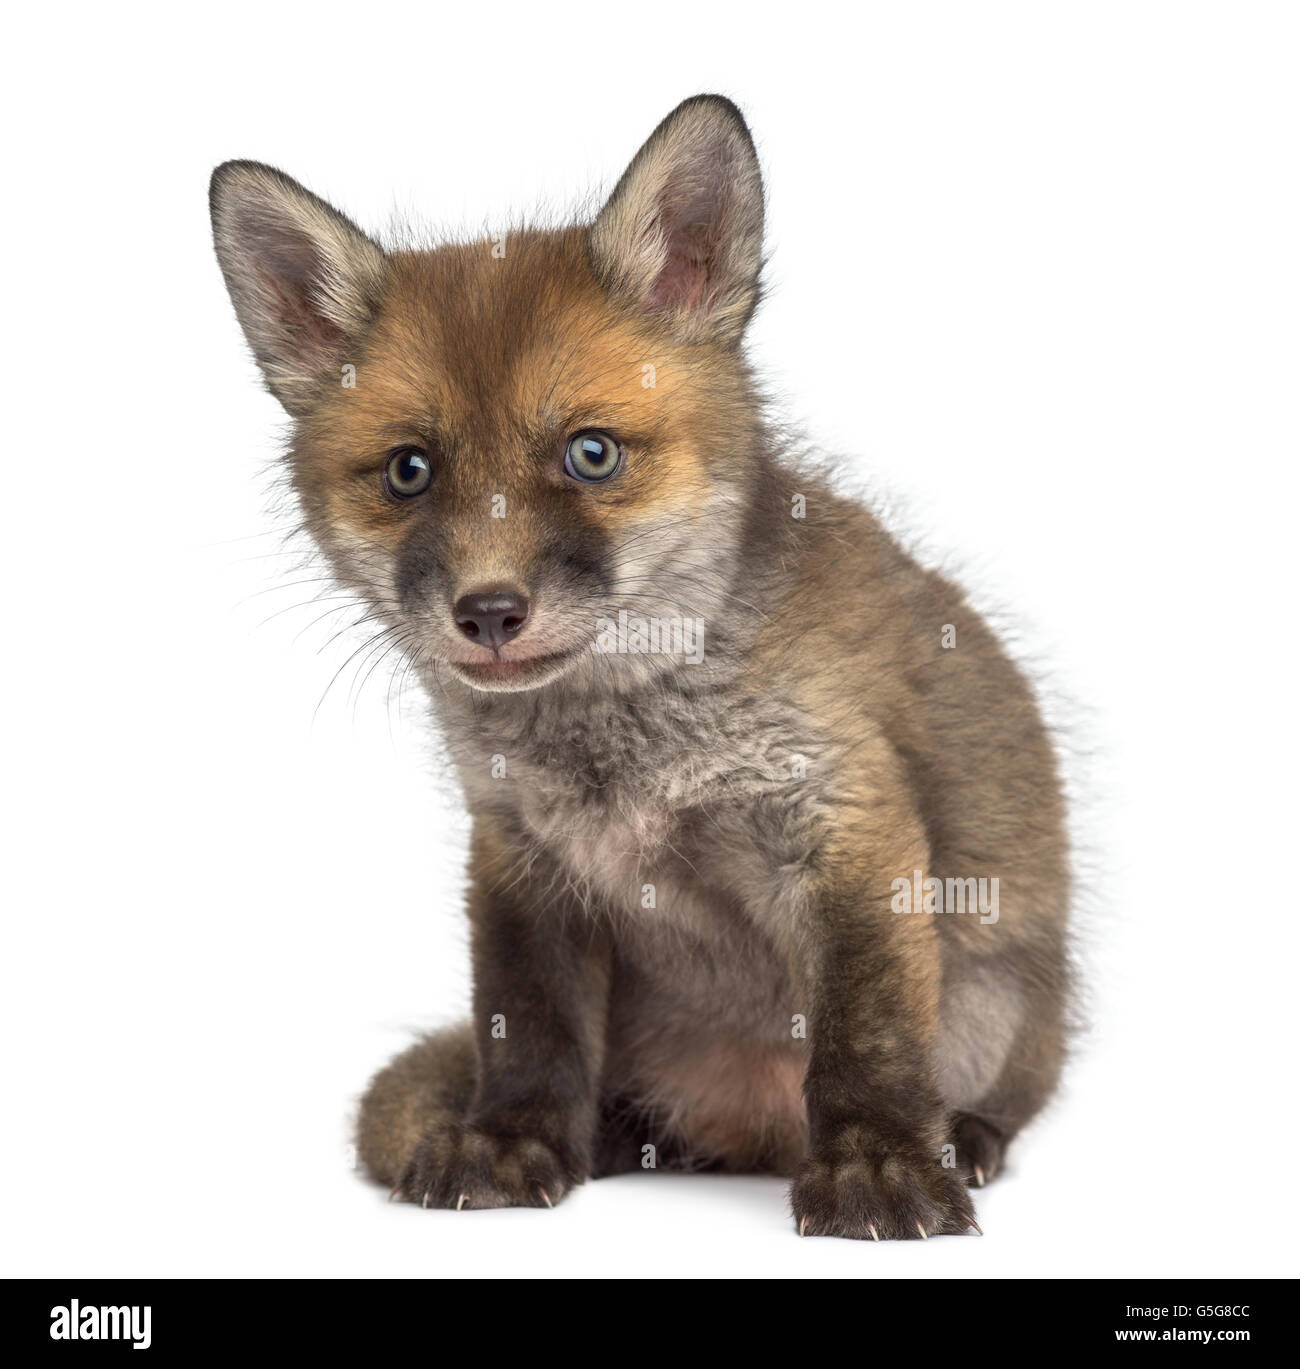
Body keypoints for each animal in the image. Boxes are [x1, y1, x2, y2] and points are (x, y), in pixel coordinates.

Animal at [210, 94, 1071, 1239]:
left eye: (591, 454)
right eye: (409, 471)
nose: (488, 611)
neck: (624, 750)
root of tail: (745, 1129)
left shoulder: (845, 816)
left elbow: (867, 1030)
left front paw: (880, 1164)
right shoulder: (518, 853)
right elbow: (526, 1024)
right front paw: (512, 1145)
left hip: (999, 1008)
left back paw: (961, 1137)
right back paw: (611, 1138)